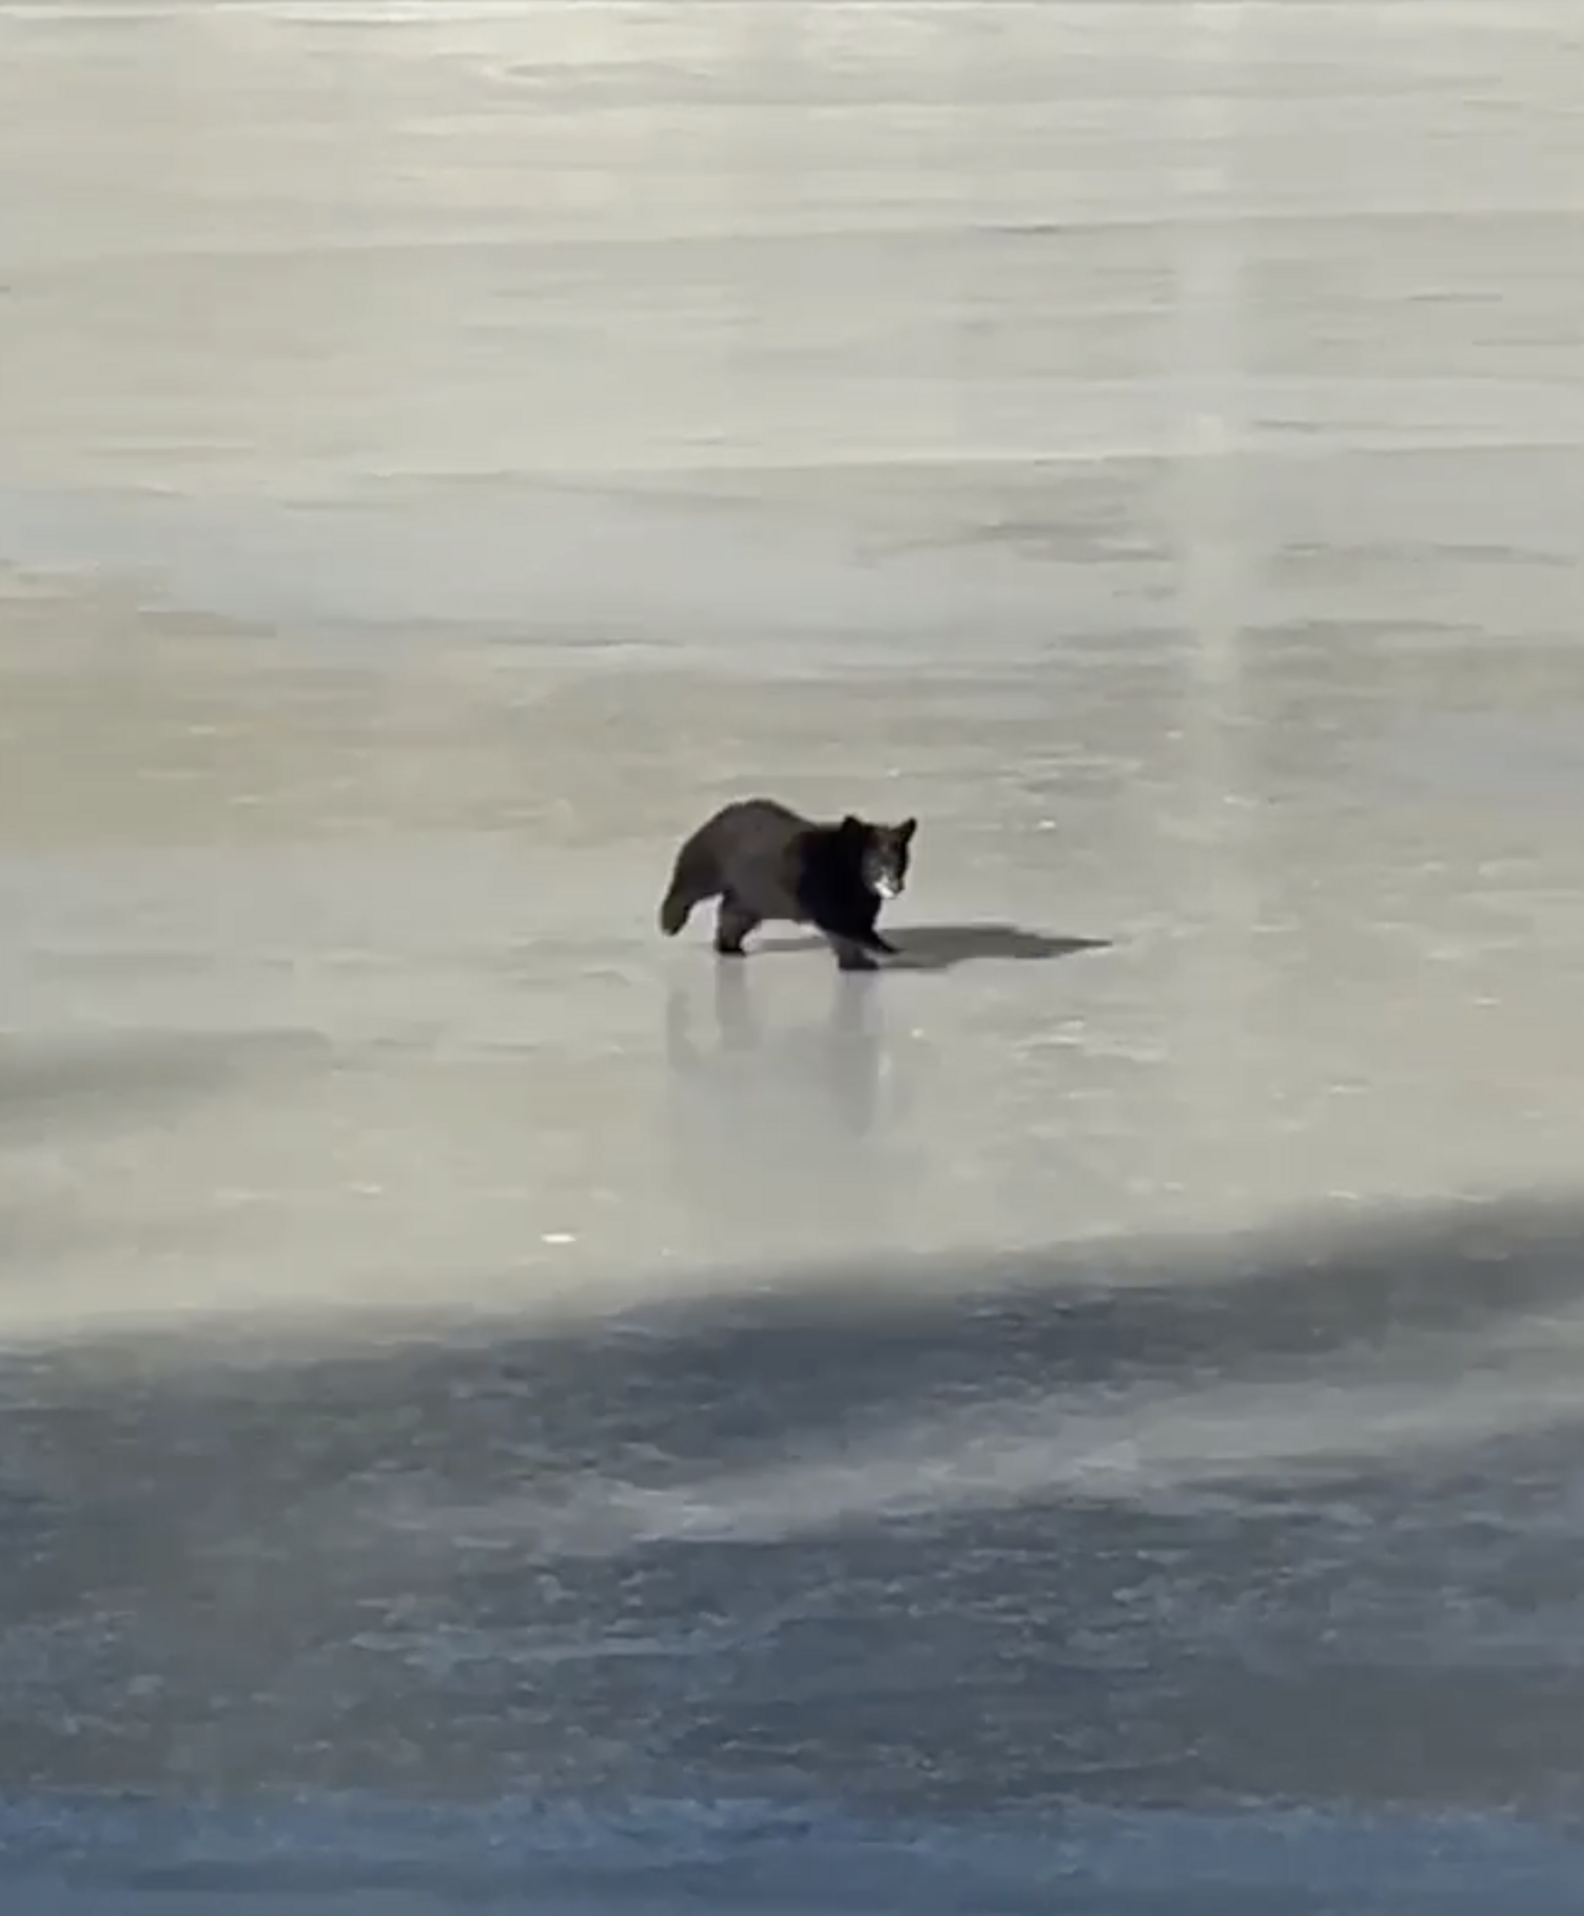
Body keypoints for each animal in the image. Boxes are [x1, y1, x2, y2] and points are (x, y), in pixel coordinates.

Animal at [658, 797, 917, 971]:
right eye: (877, 863)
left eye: (901, 862)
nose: (896, 887)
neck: (855, 879)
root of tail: (722, 813)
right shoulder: (821, 883)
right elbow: (837, 924)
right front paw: (860, 960)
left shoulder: (861, 899)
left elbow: (860, 922)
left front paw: (885, 947)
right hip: (714, 855)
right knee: (692, 881)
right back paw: (670, 922)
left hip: (754, 891)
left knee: (734, 914)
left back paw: (729, 946)